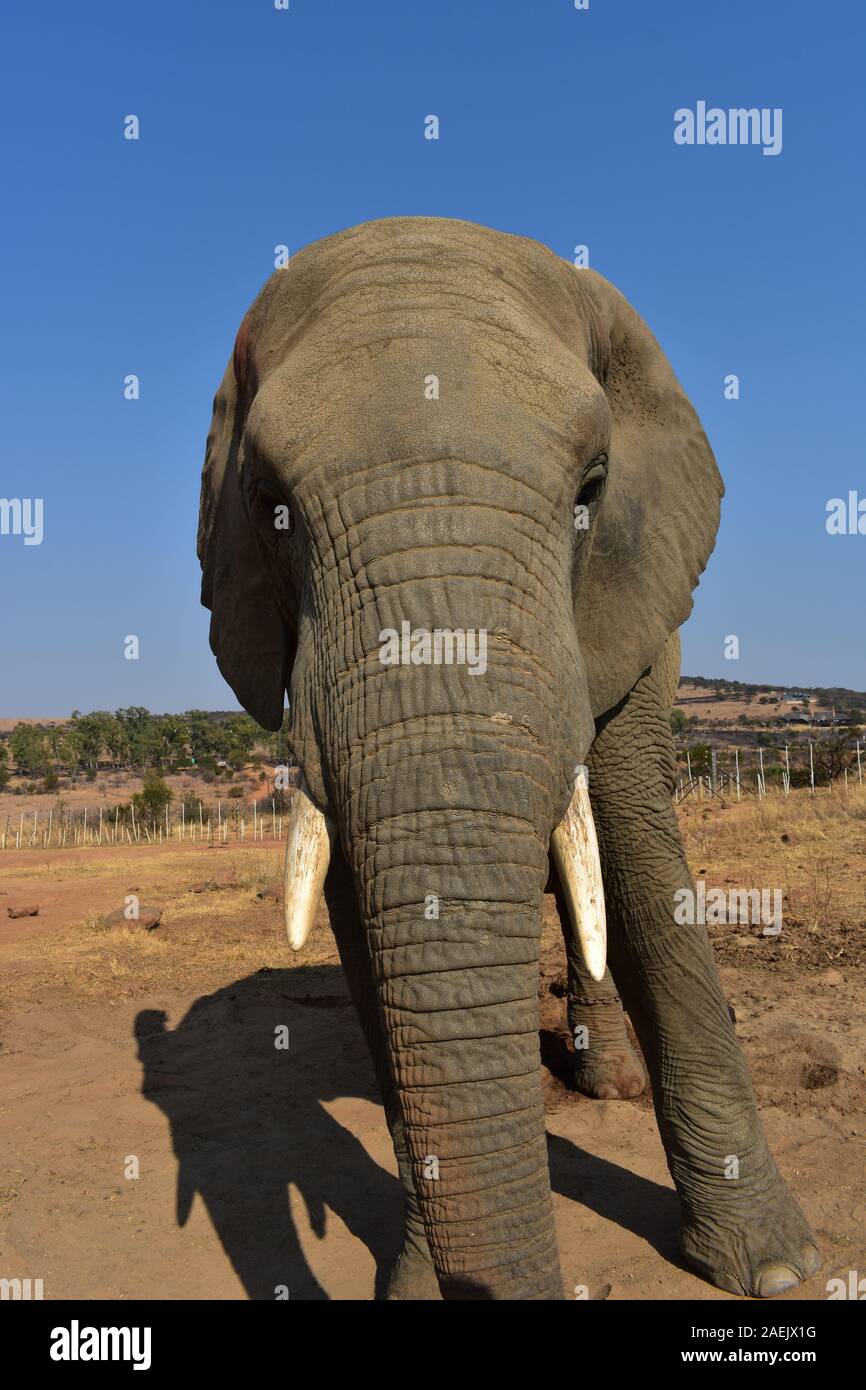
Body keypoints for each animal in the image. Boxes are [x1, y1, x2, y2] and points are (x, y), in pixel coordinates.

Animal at [197, 216, 820, 1300]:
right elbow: (358, 904)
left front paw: (778, 1269)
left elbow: (632, 851)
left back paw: (606, 1081)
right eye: (269, 506)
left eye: (591, 491)